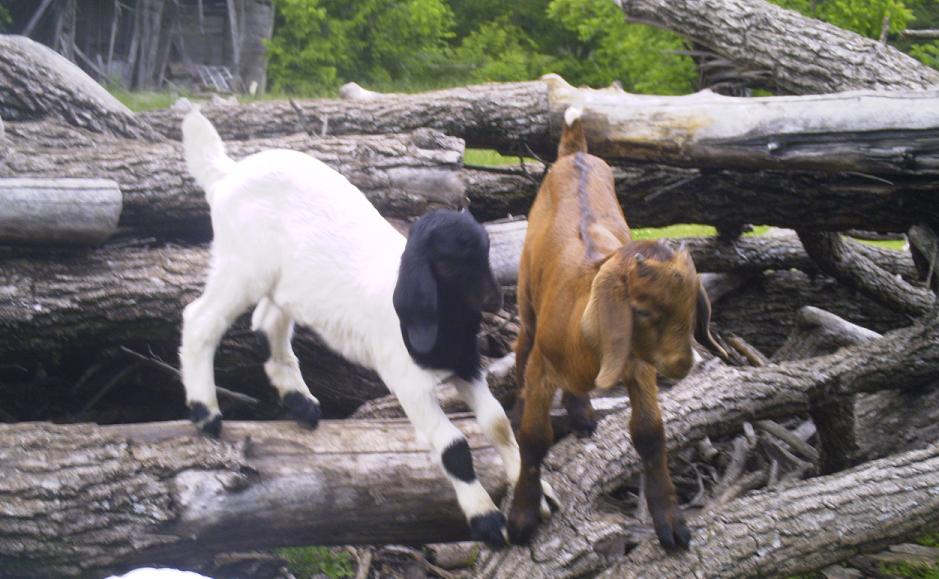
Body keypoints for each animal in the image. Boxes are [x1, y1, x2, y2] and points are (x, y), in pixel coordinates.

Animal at [179, 109, 535, 547]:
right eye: (450, 263)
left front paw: (533, 493)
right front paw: (485, 519)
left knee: (268, 321)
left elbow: (498, 424)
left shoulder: (467, 365)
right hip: (242, 263)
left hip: (284, 279)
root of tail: (227, 174)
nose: (493, 300)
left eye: (485, 251)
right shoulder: (408, 382)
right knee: (200, 320)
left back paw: (299, 401)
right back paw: (205, 413)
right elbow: (454, 447)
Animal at [508, 107, 727, 549]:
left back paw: (583, 414)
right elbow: (535, 437)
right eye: (640, 310)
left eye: (692, 305)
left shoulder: (637, 365)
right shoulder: (544, 366)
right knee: (521, 347)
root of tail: (574, 153)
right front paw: (522, 518)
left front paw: (671, 523)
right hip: (527, 300)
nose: (683, 363)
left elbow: (649, 433)